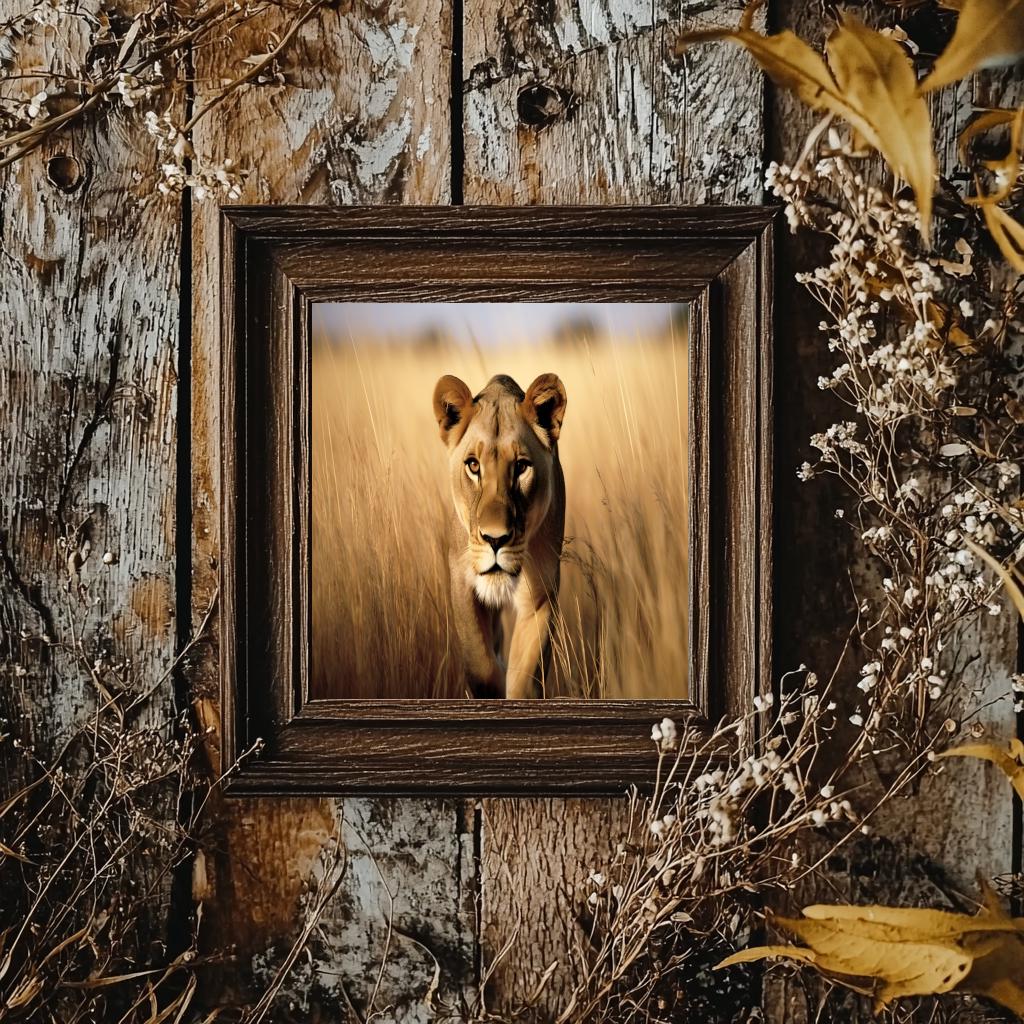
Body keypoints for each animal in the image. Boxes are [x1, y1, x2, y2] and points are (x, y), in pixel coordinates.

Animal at [431, 372, 567, 699]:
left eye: (521, 467)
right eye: (473, 465)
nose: (495, 540)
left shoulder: (541, 594)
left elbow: (524, 680)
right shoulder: (461, 581)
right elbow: (481, 665)